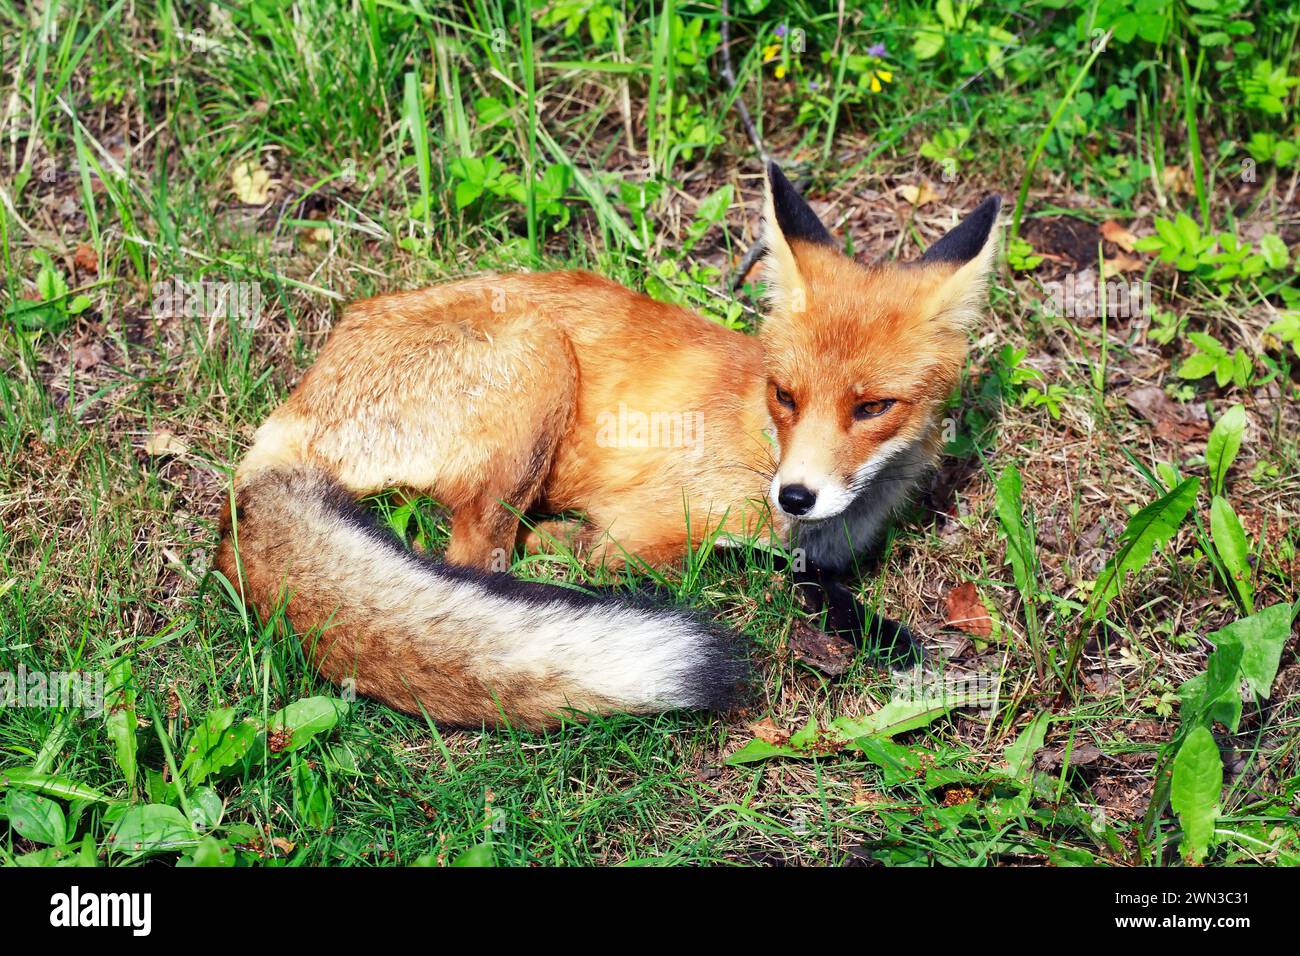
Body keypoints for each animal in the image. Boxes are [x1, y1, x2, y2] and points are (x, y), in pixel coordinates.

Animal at [215, 163, 1001, 729]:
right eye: (786, 395)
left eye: (873, 408)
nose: (796, 495)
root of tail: (287, 417)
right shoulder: (645, 528)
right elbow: (719, 561)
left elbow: (813, 575)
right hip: (538, 355)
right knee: (475, 561)